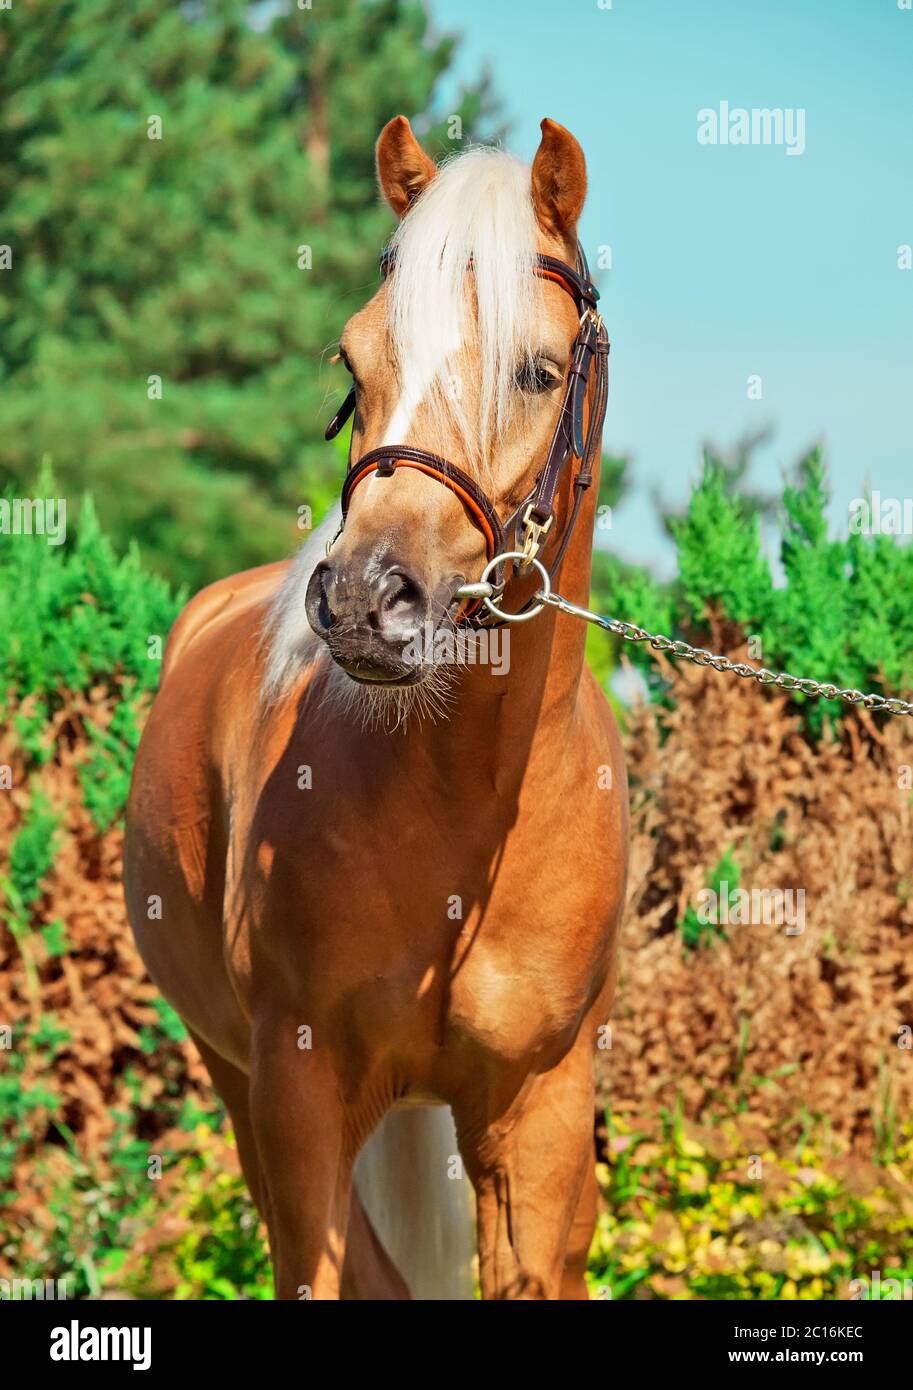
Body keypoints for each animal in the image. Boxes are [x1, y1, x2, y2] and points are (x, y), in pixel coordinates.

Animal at [124, 115, 629, 1300]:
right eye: (353, 365)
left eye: (536, 372)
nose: (362, 599)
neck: (468, 805)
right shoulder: (298, 1102)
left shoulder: (539, 1111)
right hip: (238, 1081)